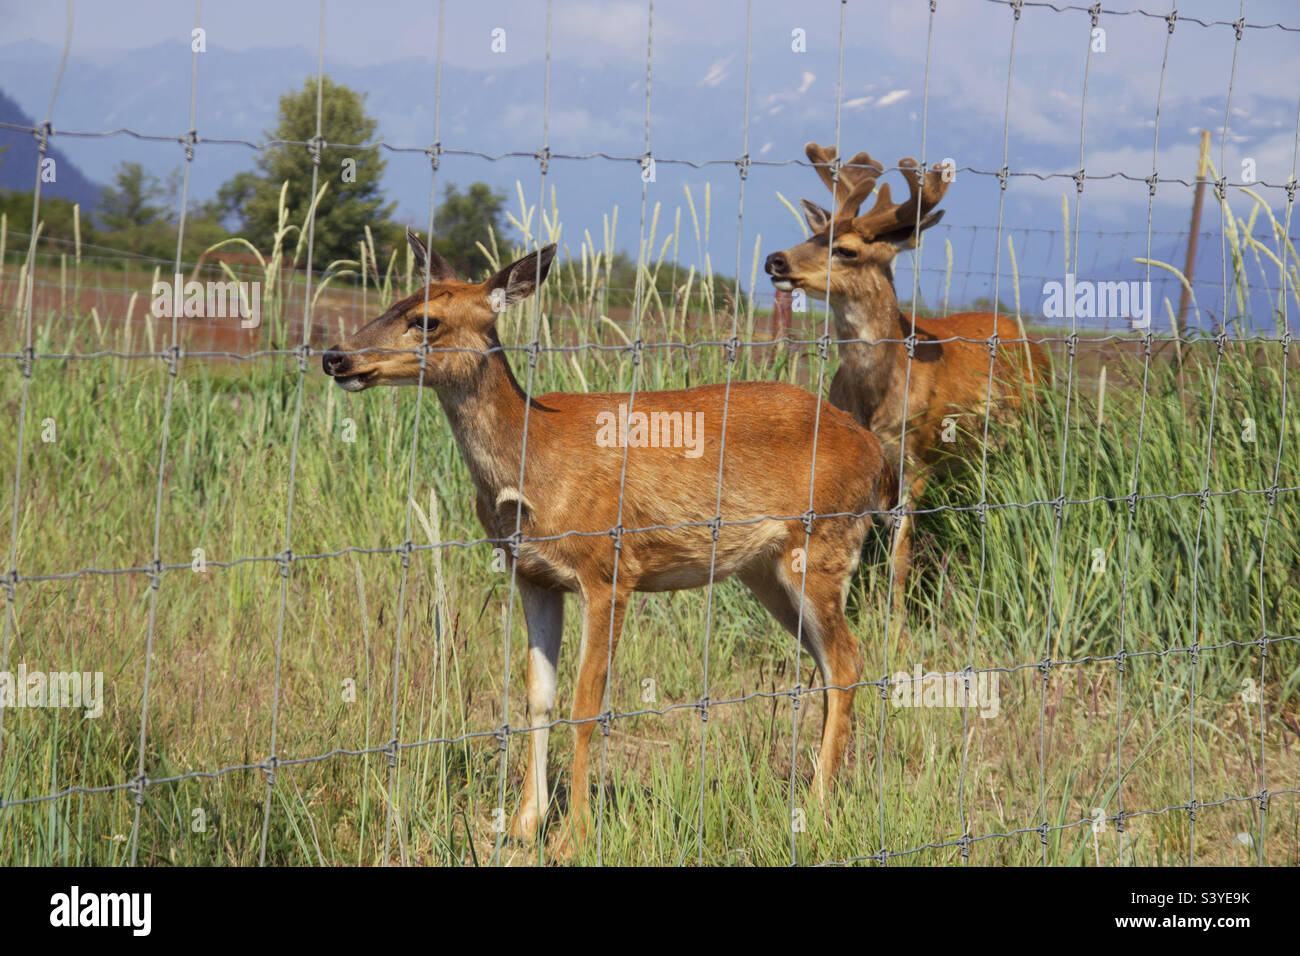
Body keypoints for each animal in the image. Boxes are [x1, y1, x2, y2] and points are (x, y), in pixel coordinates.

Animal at [322, 230, 898, 858]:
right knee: (829, 662)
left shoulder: (609, 570)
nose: (336, 357)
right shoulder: (533, 576)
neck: (533, 463)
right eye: (394, 301)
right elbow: (538, 697)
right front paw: (523, 824)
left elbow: (586, 704)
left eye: (426, 320)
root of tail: (875, 452)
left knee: (847, 660)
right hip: (764, 570)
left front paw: (571, 838)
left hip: (824, 544)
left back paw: (814, 812)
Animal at [765, 143, 1049, 640]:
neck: (878, 397)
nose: (776, 260)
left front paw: (895, 626)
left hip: (1025, 432)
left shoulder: (916, 456)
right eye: (813, 234)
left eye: (846, 249)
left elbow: (900, 553)